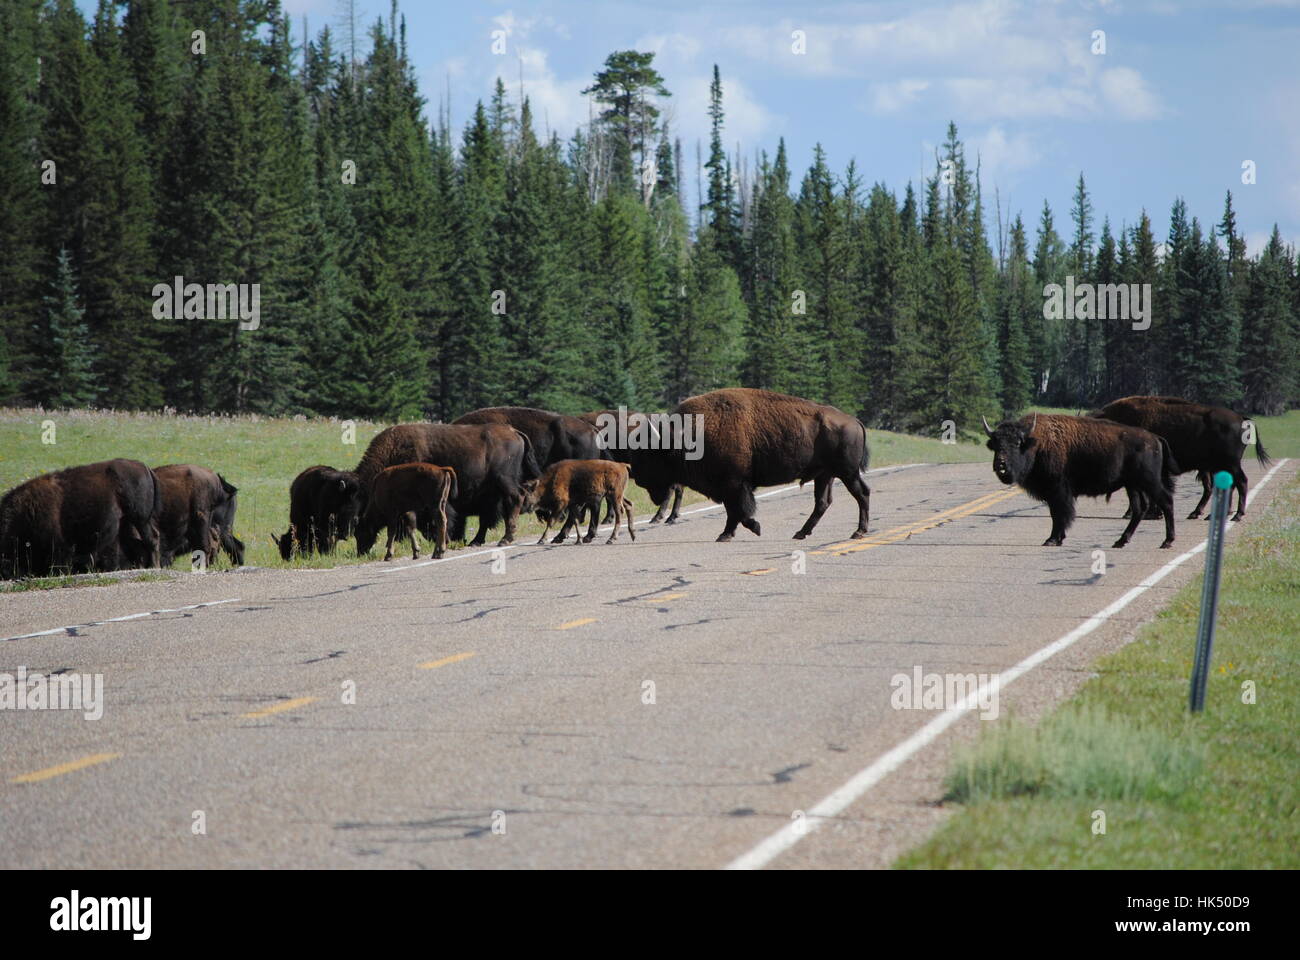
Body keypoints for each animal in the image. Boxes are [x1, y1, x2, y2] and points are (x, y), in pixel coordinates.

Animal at [1, 459, 161, 579]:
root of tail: (145, 467)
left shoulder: (60, 547)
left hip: (140, 519)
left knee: (151, 539)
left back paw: (154, 566)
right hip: (126, 524)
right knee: (138, 544)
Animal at [354, 423, 541, 547]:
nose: (361, 549)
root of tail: (514, 431)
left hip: (504, 480)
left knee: (515, 498)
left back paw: (505, 539)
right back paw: (477, 541)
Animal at [628, 388, 872, 542]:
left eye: (651, 455)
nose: (637, 477)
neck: (686, 437)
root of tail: (854, 420)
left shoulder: (734, 484)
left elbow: (739, 511)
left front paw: (748, 529)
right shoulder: (729, 487)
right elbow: (734, 512)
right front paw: (728, 534)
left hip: (847, 473)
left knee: (861, 494)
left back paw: (859, 532)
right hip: (825, 475)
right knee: (823, 502)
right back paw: (801, 533)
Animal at [983, 413, 1176, 549]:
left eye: (1016, 443)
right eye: (996, 444)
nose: (1000, 464)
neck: (1037, 444)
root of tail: (1155, 438)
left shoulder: (1058, 492)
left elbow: (1059, 514)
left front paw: (1052, 540)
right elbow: (1057, 514)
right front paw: (1058, 539)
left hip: (1149, 482)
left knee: (1166, 502)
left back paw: (1167, 542)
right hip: (1133, 486)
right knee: (1139, 509)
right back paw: (1120, 541)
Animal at [1089, 396, 1271, 521]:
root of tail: (1241, 418)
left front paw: (1148, 514)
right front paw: (1152, 513)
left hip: (1229, 464)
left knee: (1240, 482)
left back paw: (1236, 515)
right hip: (1218, 466)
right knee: (1223, 486)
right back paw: (1204, 514)